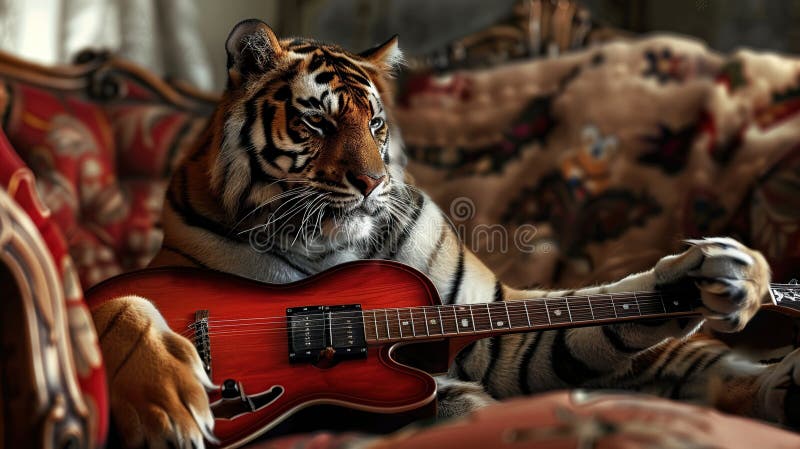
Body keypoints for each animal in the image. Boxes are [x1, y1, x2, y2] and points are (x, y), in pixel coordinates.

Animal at [91, 18, 800, 449]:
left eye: (376, 125)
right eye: (318, 123)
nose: (373, 182)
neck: (323, 245)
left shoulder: (490, 330)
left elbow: (592, 324)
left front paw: (717, 274)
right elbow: (123, 309)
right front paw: (171, 404)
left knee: (705, 366)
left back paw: (775, 384)